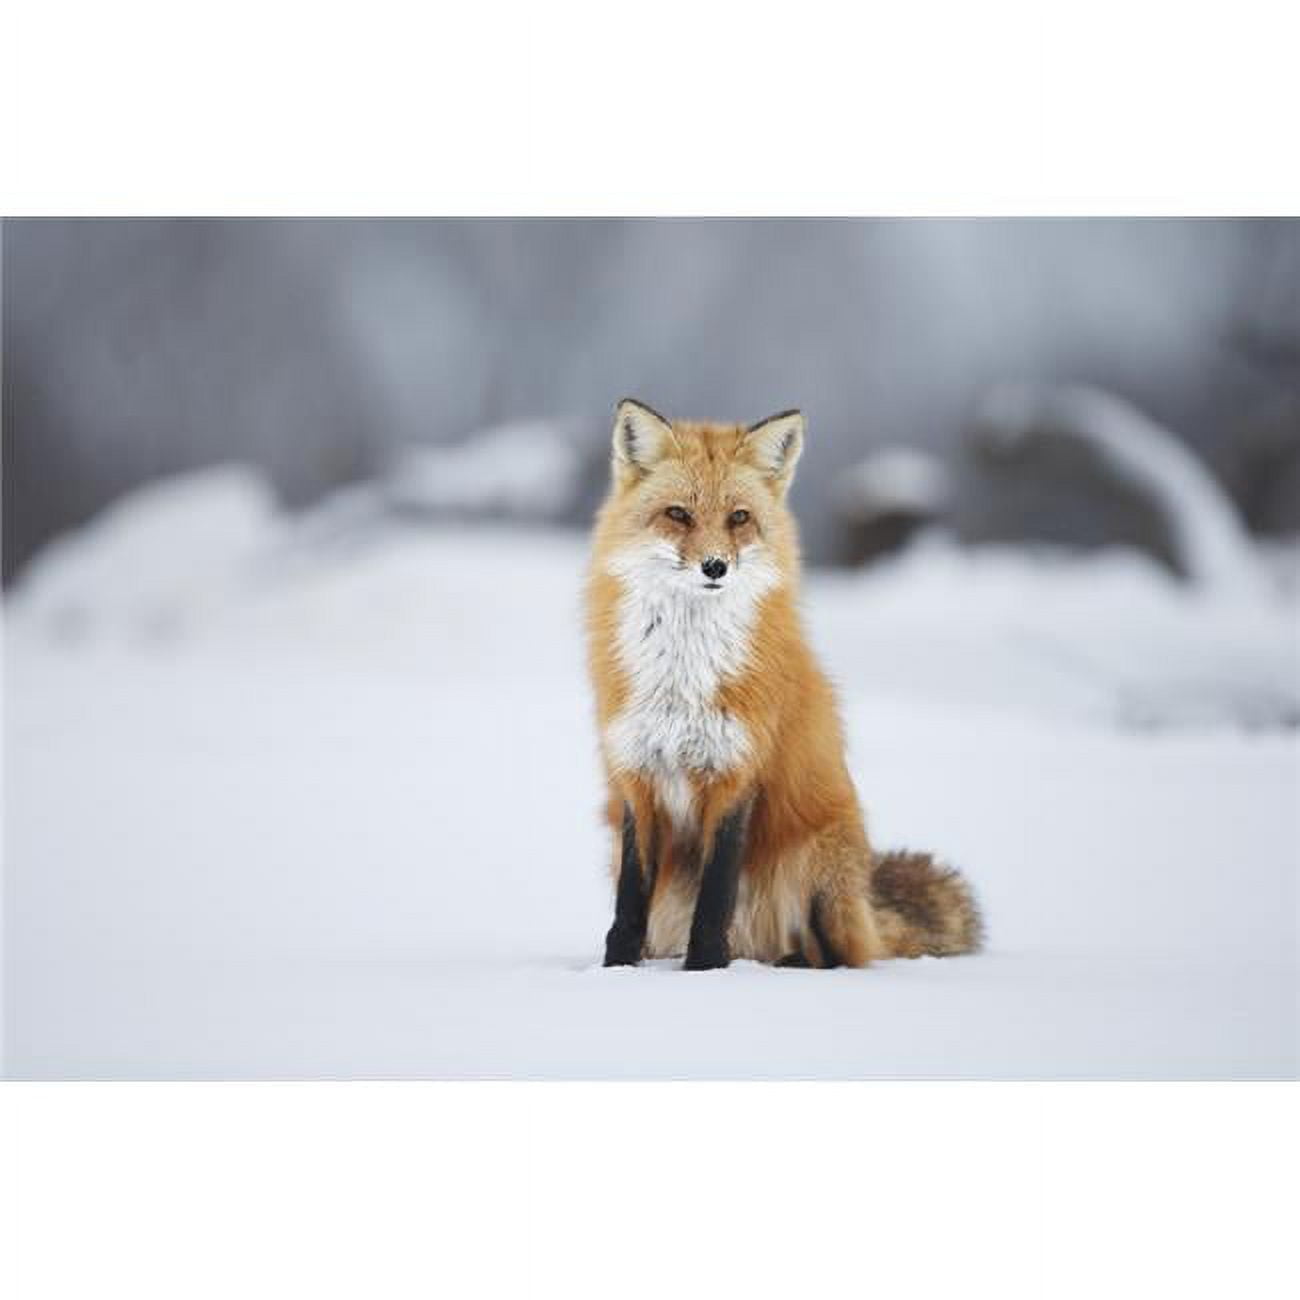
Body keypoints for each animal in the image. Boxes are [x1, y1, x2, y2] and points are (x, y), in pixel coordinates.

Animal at [586, 398, 983, 970]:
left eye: (739, 518)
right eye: (678, 514)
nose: (715, 566)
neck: (685, 676)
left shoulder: (738, 773)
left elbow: (717, 896)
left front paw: (705, 969)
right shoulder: (636, 777)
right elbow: (630, 900)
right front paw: (615, 970)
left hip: (816, 862)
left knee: (839, 954)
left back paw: (790, 965)